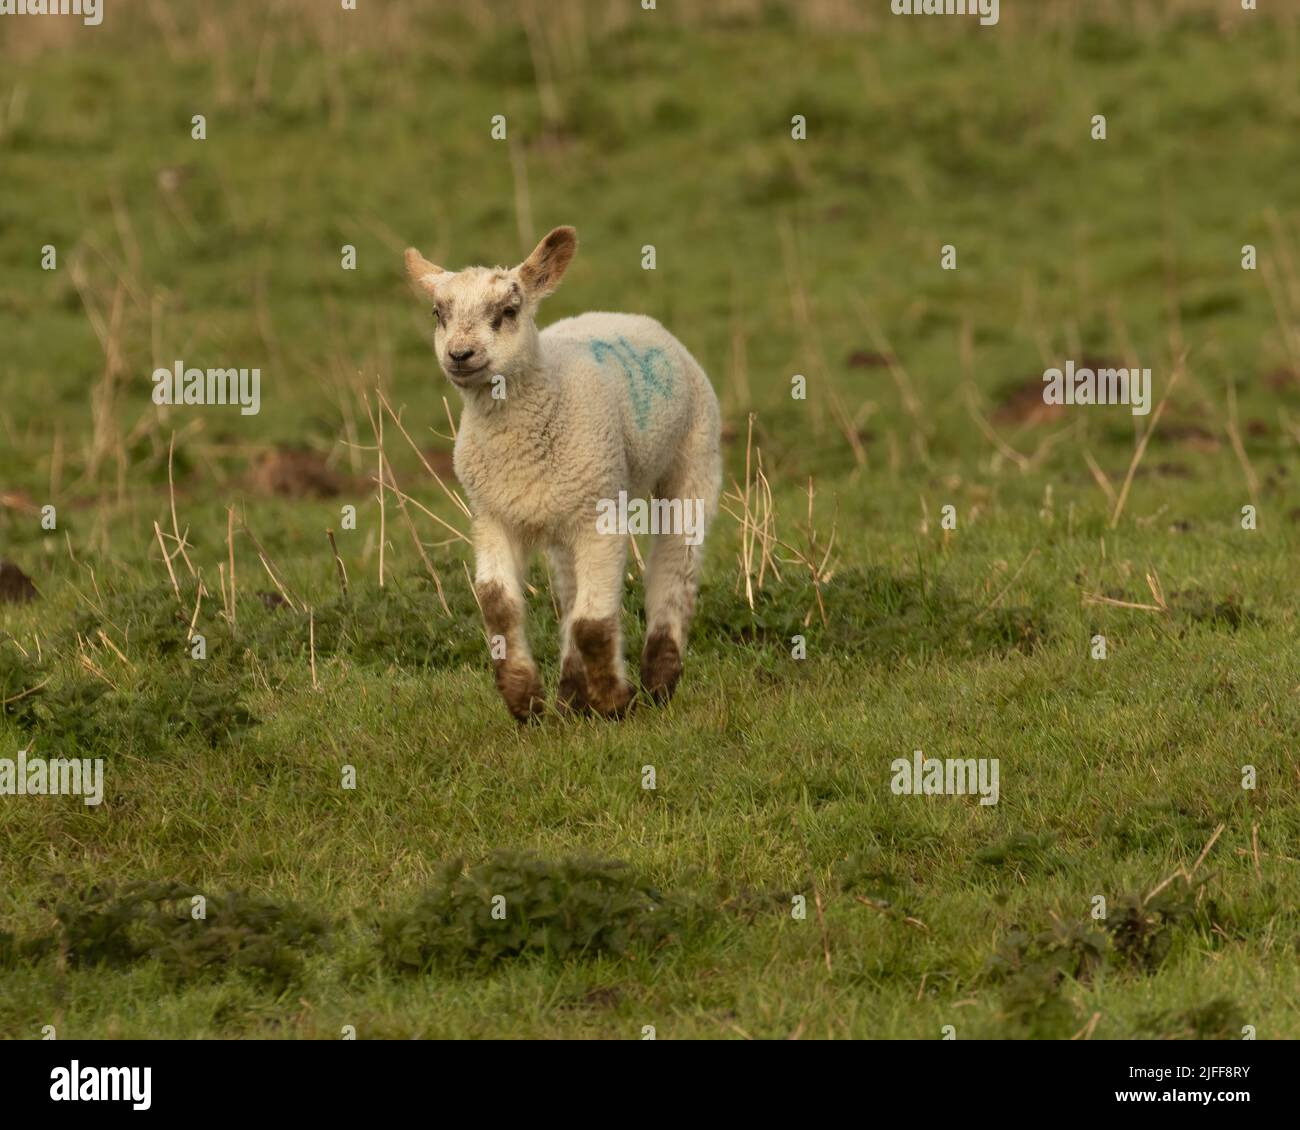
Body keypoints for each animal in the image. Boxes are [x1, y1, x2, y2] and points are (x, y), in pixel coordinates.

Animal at [404, 227, 722, 722]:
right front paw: (525, 701)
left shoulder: (599, 513)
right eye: (438, 314)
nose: (459, 354)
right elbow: (498, 606)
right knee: (571, 590)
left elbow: (593, 623)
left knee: (675, 565)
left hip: (694, 452)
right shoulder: (491, 514)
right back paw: (572, 696)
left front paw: (614, 701)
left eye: (508, 311)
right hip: (562, 510)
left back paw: (657, 683)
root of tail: (626, 316)